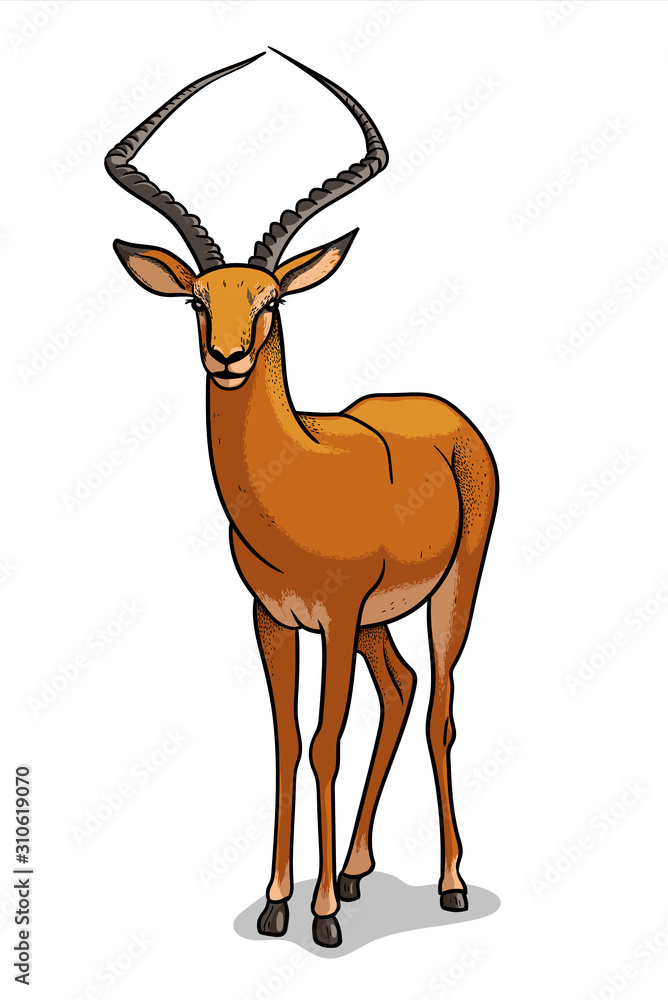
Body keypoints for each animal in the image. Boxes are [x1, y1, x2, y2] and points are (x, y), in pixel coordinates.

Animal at [106, 49, 498, 949]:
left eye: (272, 299)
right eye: (196, 298)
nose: (227, 357)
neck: (298, 479)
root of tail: (444, 414)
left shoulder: (339, 614)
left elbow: (324, 742)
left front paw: (318, 918)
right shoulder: (273, 616)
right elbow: (286, 743)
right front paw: (280, 900)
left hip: (450, 592)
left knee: (440, 708)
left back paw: (450, 884)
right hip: (381, 621)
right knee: (402, 690)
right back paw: (353, 870)